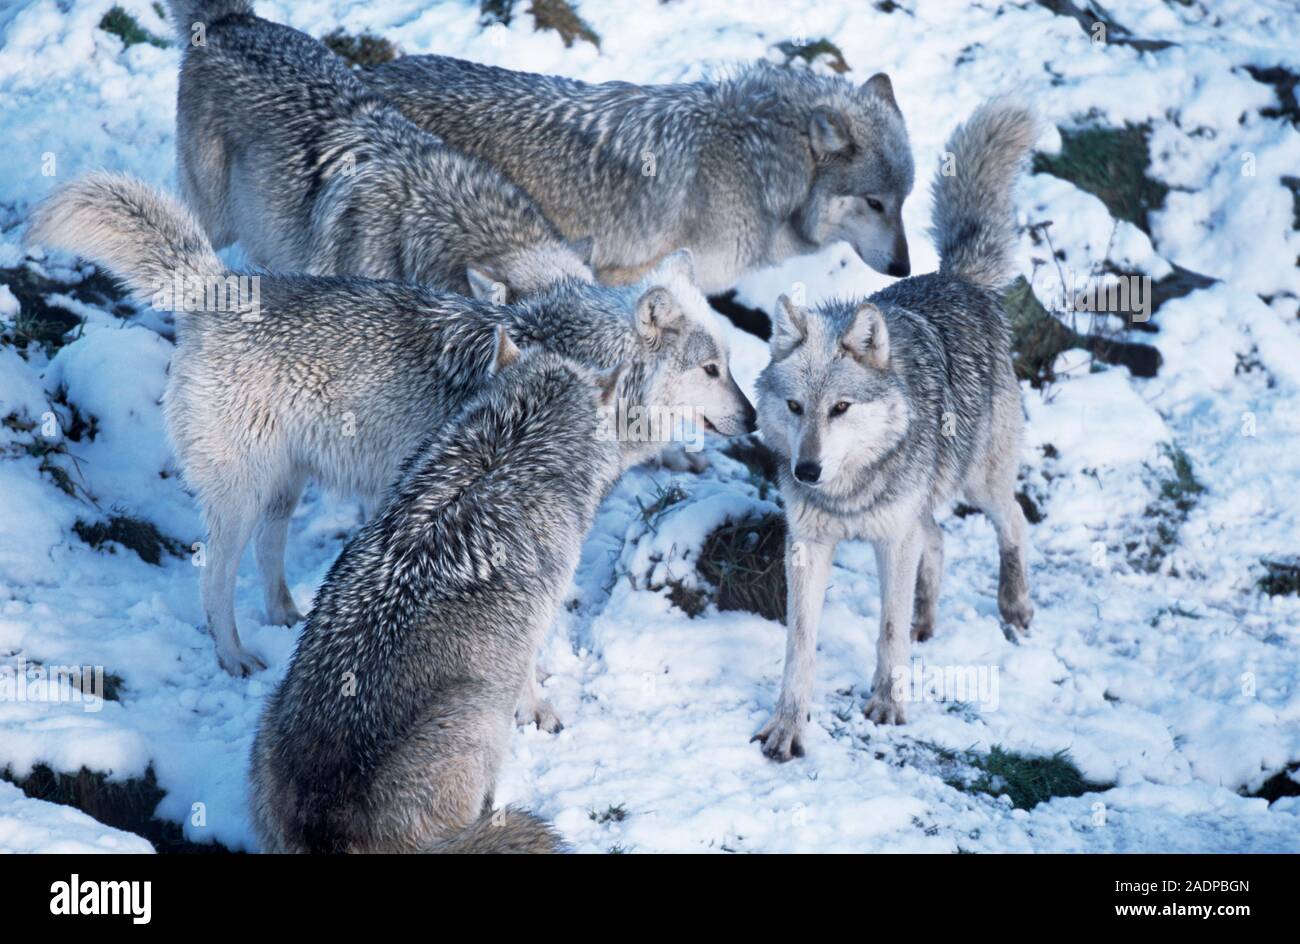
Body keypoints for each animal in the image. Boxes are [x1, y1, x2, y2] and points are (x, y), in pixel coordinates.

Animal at [27, 173, 754, 683]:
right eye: (712, 369)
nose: (751, 419)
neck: (584, 362)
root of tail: (218, 286)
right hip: (240, 496)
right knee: (214, 582)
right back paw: (234, 659)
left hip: (283, 486)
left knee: (269, 551)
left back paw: (285, 615)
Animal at [250, 342, 627, 853]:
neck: (513, 441)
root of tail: (326, 829)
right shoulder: (537, 615)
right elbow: (529, 678)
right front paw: (541, 711)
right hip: (480, 724)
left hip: (268, 716)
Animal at [752, 101, 1037, 760]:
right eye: (796, 407)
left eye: (840, 408)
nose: (807, 469)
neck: (849, 492)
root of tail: (960, 279)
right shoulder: (808, 547)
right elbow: (798, 646)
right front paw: (788, 727)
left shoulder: (890, 539)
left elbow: (884, 632)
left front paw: (886, 704)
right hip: (923, 508)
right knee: (939, 540)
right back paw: (926, 620)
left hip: (980, 485)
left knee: (1014, 522)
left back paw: (1013, 607)